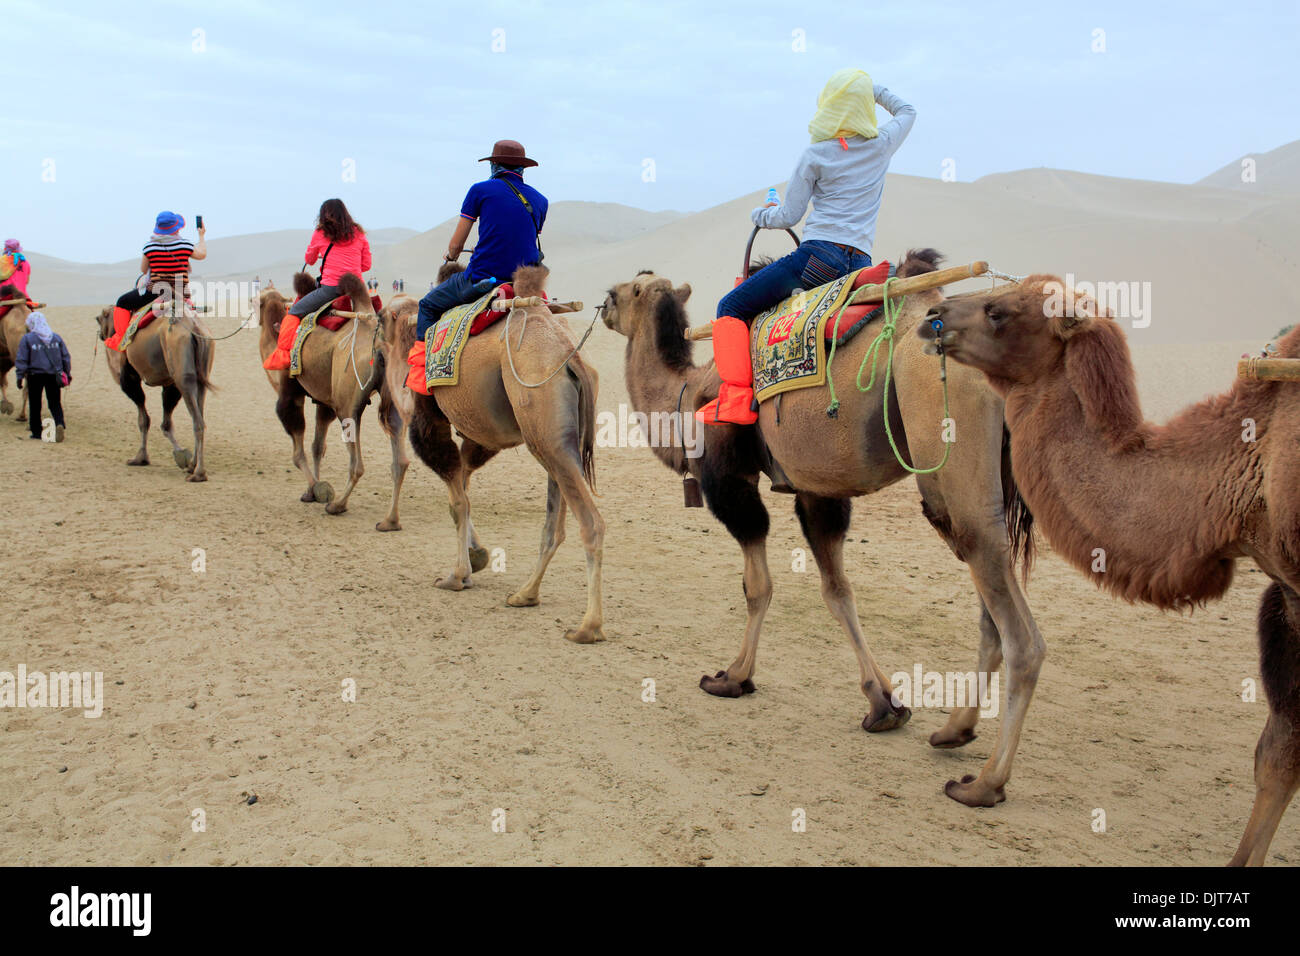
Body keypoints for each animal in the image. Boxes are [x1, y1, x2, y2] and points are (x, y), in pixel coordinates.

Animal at [94, 289, 214, 481]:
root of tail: (194, 328)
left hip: (182, 373)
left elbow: (144, 420)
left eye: (99, 318)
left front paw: (141, 458)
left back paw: (198, 474)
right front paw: (183, 458)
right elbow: (165, 422)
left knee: (198, 421)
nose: (101, 334)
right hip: (200, 373)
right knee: (199, 415)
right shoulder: (170, 384)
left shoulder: (130, 377)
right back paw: (194, 466)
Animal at [255, 272, 407, 530]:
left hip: (347, 404)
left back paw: (337, 505)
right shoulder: (324, 401)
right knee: (400, 462)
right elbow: (317, 446)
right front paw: (312, 490)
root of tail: (380, 345)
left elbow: (298, 451)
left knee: (357, 464)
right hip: (393, 398)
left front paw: (316, 489)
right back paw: (390, 520)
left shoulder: (290, 393)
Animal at [376, 264, 606, 643]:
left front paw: (456, 576)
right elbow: (464, 489)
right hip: (554, 437)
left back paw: (588, 626)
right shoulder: (479, 435)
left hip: (541, 415)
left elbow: (457, 503)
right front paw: (476, 558)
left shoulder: (429, 421)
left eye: (380, 318)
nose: (374, 339)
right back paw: (525, 594)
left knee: (591, 522)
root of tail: (571, 356)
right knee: (554, 522)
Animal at [602, 250, 1046, 806]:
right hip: (973, 488)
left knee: (1020, 634)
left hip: (948, 452)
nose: (600, 307)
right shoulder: (817, 491)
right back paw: (954, 730)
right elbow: (838, 592)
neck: (687, 396)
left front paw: (733, 676)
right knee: (990, 600)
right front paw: (885, 704)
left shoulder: (730, 483)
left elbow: (758, 586)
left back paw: (985, 782)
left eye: (622, 292)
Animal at [917, 275, 1300, 865]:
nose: (932, 314)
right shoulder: (1288, 595)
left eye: (999, 311)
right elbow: (1278, 754)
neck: (1246, 470)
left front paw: (981, 783)